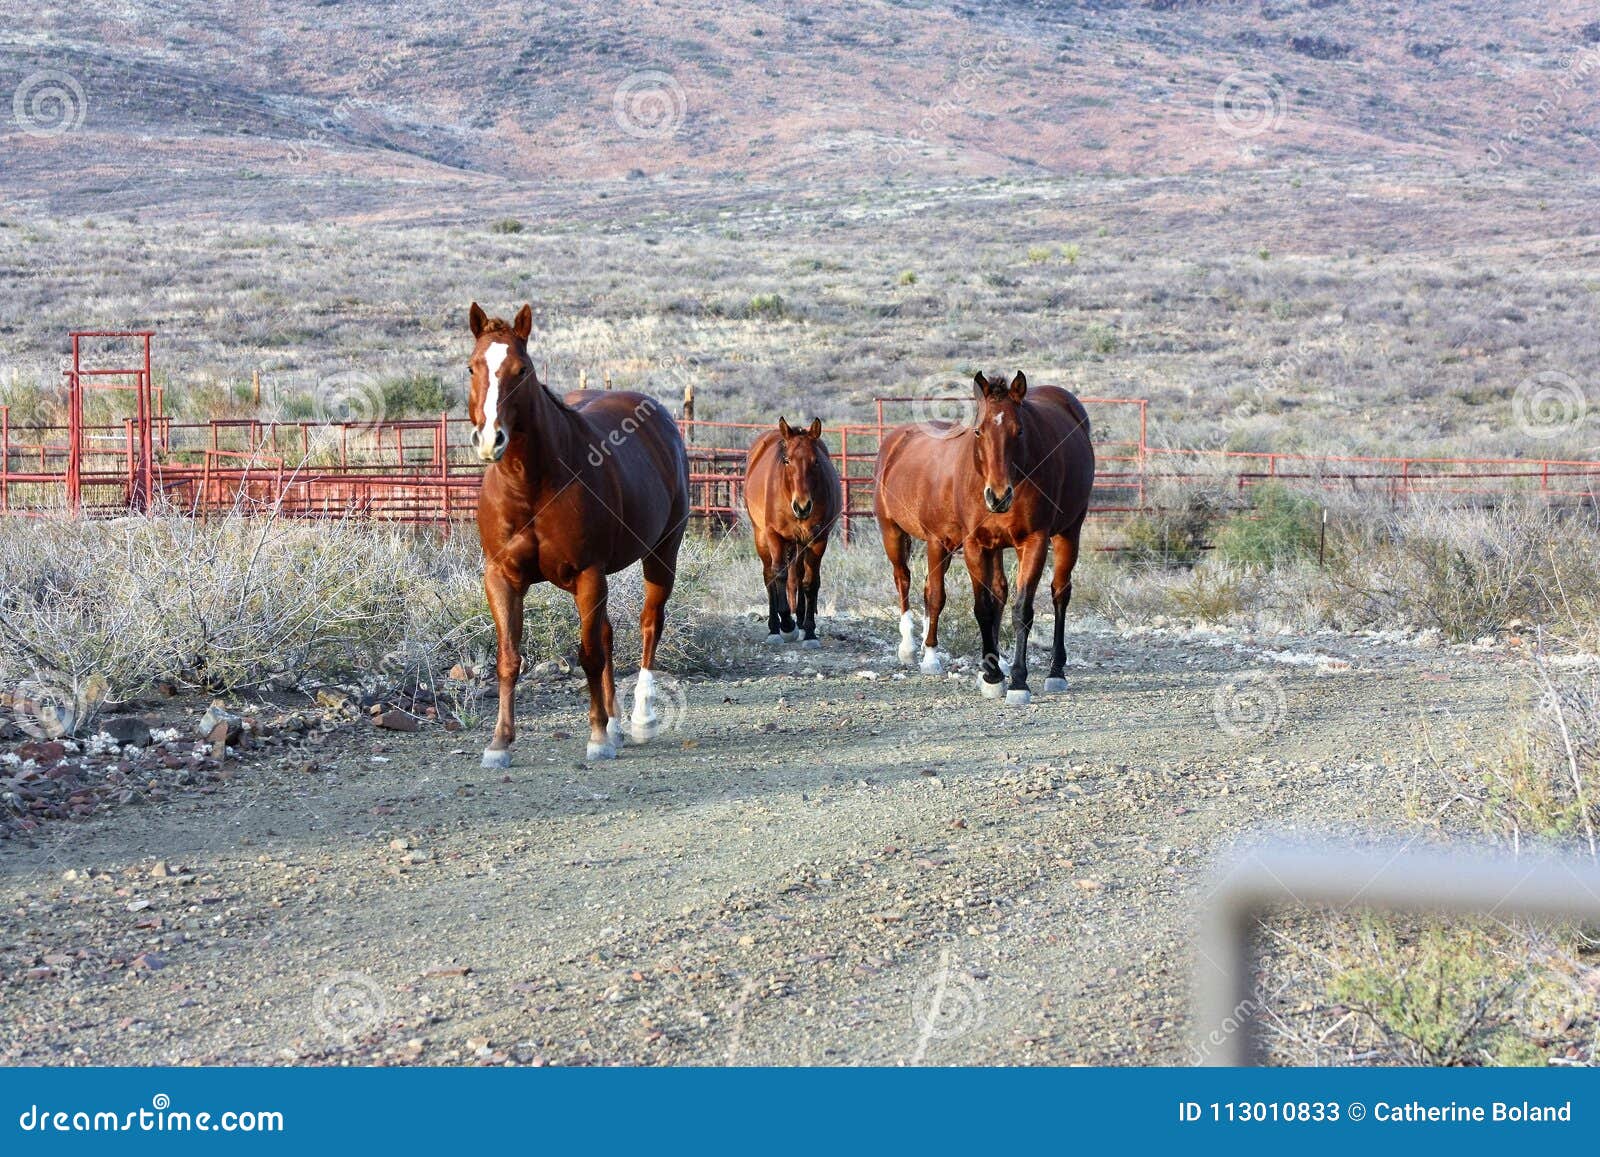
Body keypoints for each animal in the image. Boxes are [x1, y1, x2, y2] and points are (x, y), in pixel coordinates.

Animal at [466, 302, 690, 765]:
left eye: (522, 370)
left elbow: (589, 654)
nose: (491, 439)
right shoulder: (501, 577)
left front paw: (598, 737)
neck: (532, 485)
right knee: (607, 634)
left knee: (649, 625)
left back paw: (639, 718)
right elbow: (509, 658)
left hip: (662, 554)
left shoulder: (588, 573)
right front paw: (499, 743)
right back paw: (617, 722)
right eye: (472, 367)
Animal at [743, 417, 841, 647]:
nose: (802, 506)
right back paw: (775, 628)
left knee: (797, 575)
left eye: (816, 461)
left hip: (799, 543)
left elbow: (810, 582)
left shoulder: (818, 539)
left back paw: (801, 621)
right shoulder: (774, 535)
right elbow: (778, 575)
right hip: (761, 537)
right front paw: (786, 624)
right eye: (787, 460)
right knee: (770, 575)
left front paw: (810, 631)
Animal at [873, 371, 1095, 705]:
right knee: (904, 579)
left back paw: (1056, 671)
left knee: (1059, 594)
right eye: (978, 431)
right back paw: (912, 647)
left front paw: (1017, 681)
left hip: (1069, 532)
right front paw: (991, 676)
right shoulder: (974, 544)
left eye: (1019, 430)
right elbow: (982, 607)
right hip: (893, 532)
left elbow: (1021, 610)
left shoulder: (1034, 542)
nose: (998, 496)